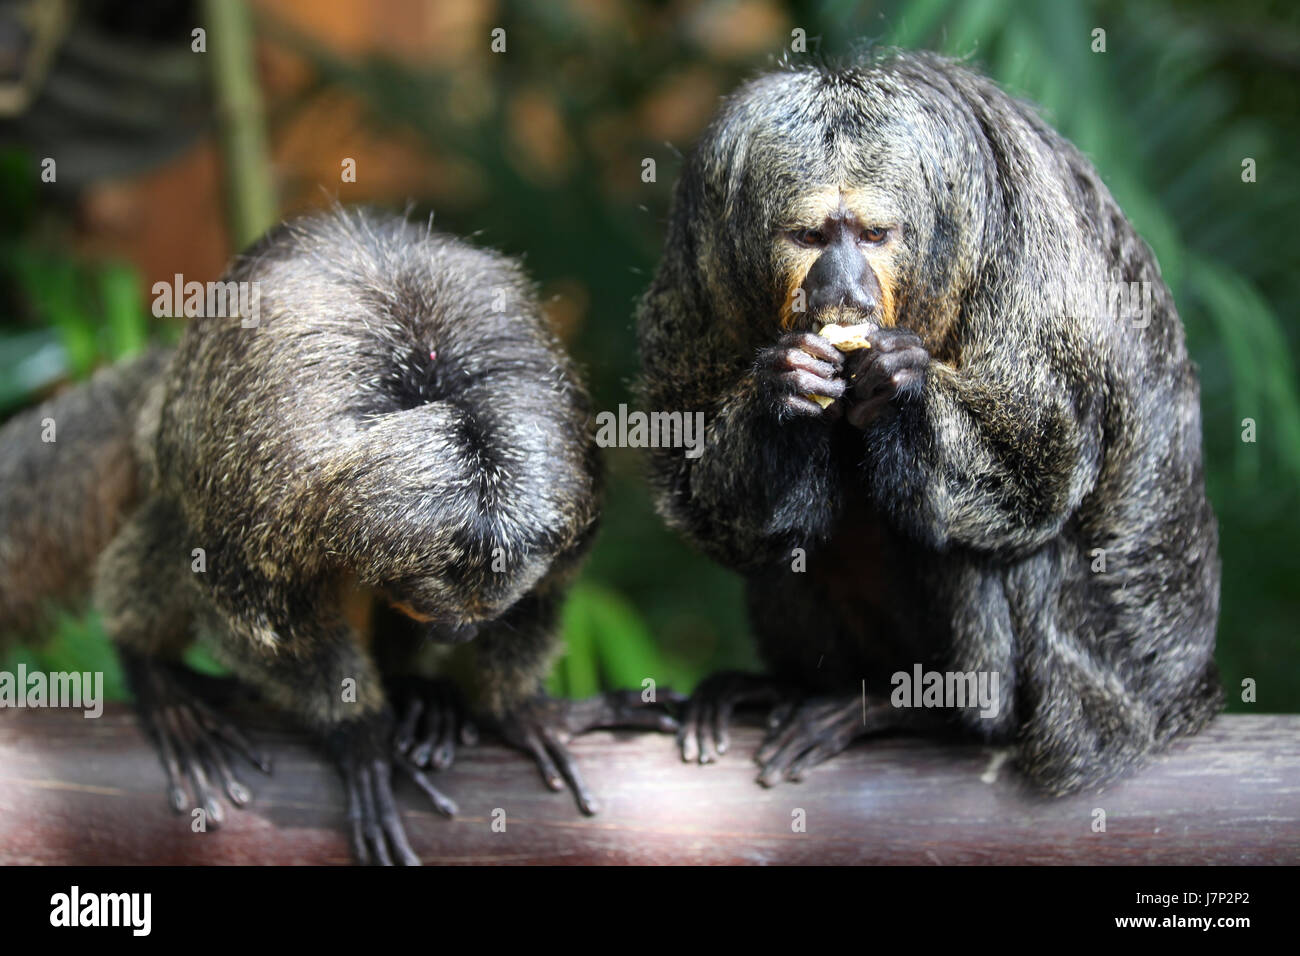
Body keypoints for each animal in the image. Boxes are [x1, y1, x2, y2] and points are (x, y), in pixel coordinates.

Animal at [0, 206, 675, 864]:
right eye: (436, 604)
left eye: (481, 614)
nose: (458, 633)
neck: (429, 383)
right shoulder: (268, 484)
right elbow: (253, 616)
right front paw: (360, 734)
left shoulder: (570, 472)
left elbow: (545, 592)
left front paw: (520, 711)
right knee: (176, 521)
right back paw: (156, 676)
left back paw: (419, 697)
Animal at [635, 50, 1222, 795]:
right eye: (812, 237)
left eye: (873, 236)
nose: (841, 286)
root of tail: (1180, 691)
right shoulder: (704, 257)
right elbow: (700, 492)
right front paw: (785, 392)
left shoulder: (1033, 265)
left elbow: (1041, 472)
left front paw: (903, 388)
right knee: (792, 528)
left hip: (1089, 698)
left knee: (965, 528)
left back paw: (929, 711)